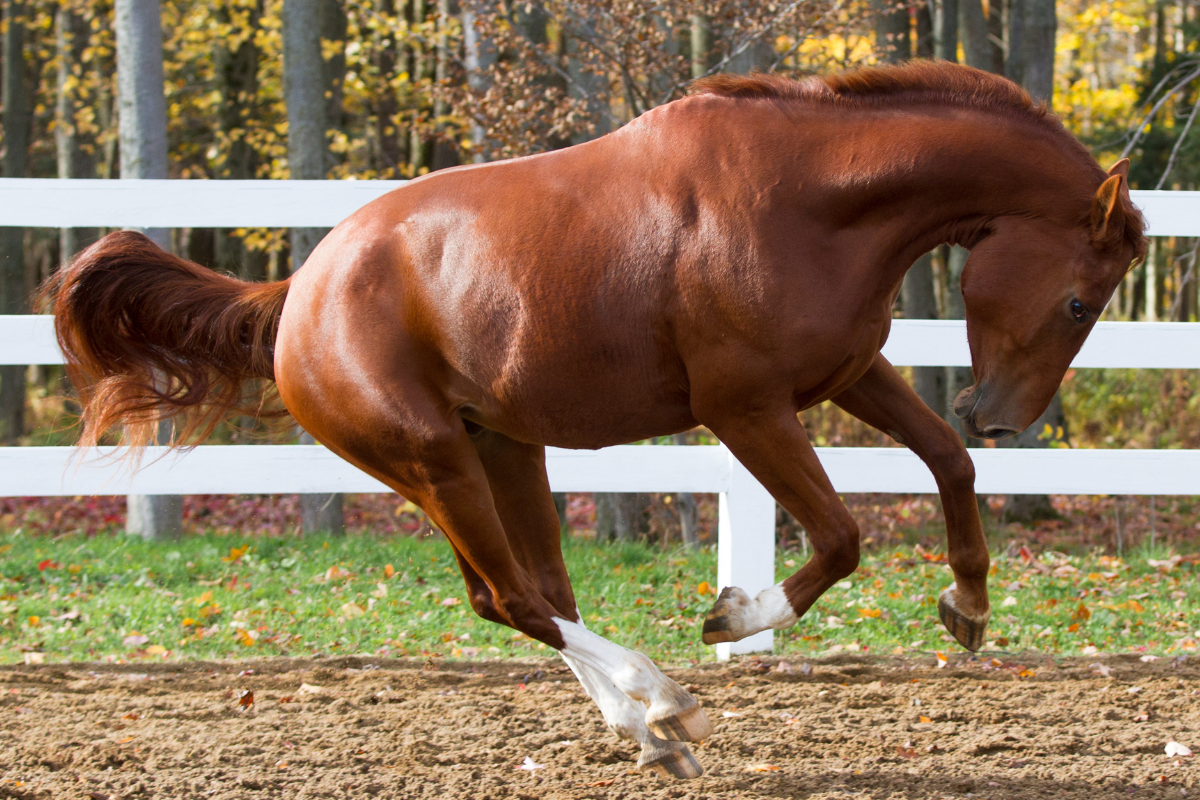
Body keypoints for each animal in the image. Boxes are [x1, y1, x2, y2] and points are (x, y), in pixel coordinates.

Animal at [44, 62, 1145, 780]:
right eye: (1080, 302)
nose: (1000, 413)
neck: (813, 201)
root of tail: (295, 294)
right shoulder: (746, 408)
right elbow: (840, 537)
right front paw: (733, 615)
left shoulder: (848, 371)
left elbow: (947, 462)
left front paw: (967, 606)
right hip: (431, 462)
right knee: (514, 599)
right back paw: (663, 702)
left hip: (503, 447)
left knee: (528, 594)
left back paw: (651, 727)